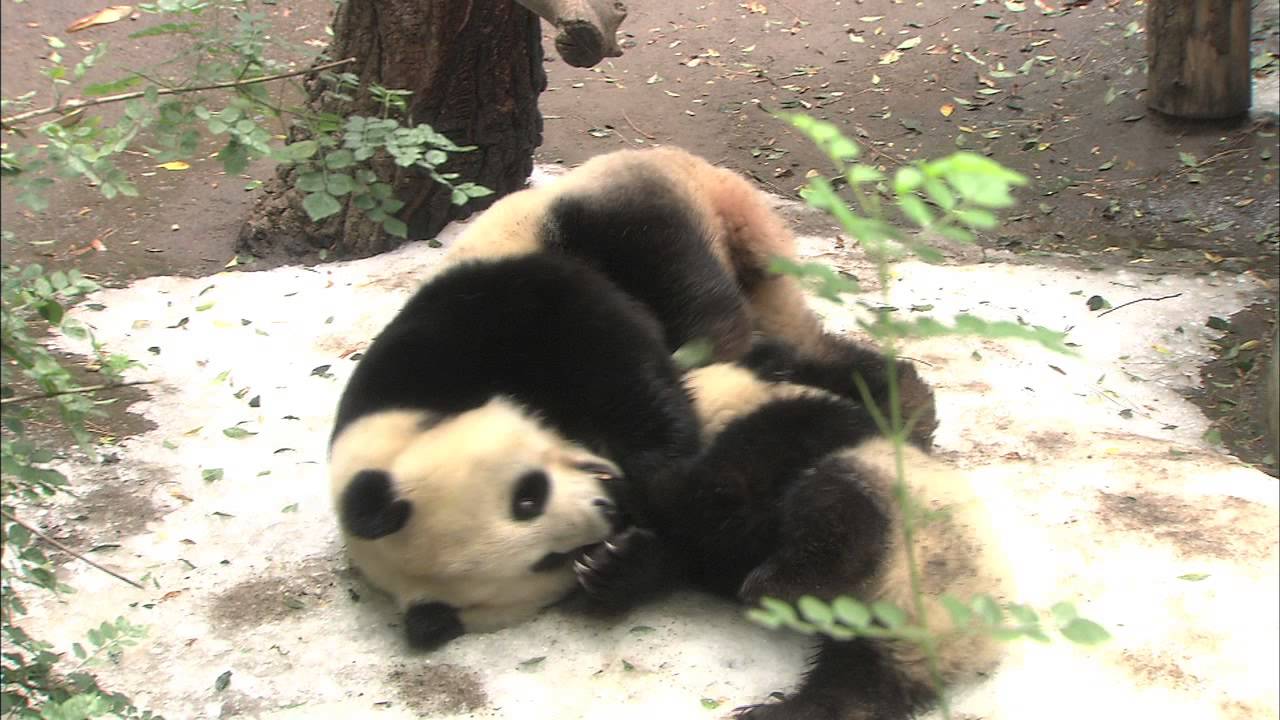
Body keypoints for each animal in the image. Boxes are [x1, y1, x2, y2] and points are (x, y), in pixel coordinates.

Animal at [624, 342, 1010, 720]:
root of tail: (968, 651)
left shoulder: (804, 426)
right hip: (880, 631)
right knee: (854, 687)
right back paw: (782, 708)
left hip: (897, 533)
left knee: (835, 516)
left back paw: (774, 587)